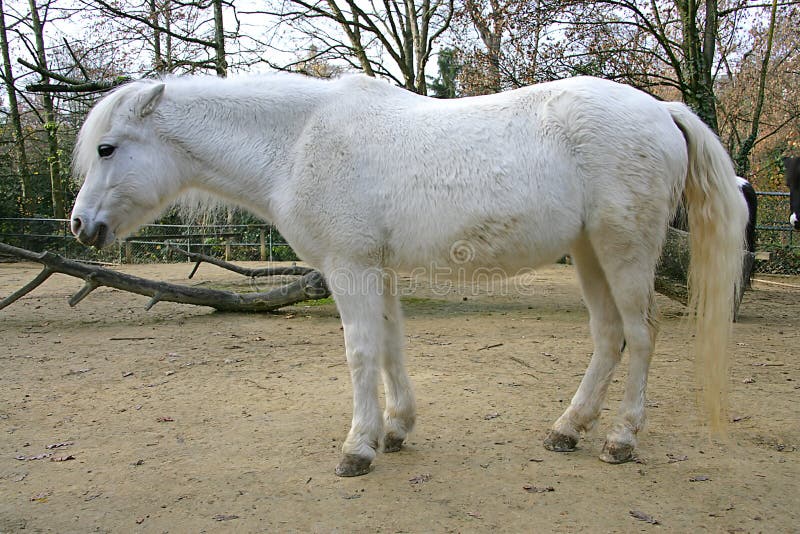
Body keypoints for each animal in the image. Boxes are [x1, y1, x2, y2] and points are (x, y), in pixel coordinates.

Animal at [69, 73, 748, 477]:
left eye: (107, 148)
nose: (80, 226)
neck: (299, 142)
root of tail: (662, 110)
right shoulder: (378, 270)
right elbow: (392, 347)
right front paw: (396, 429)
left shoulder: (349, 269)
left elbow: (361, 352)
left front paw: (359, 447)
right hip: (588, 253)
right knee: (608, 337)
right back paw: (567, 429)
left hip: (623, 250)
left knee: (641, 335)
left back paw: (621, 440)